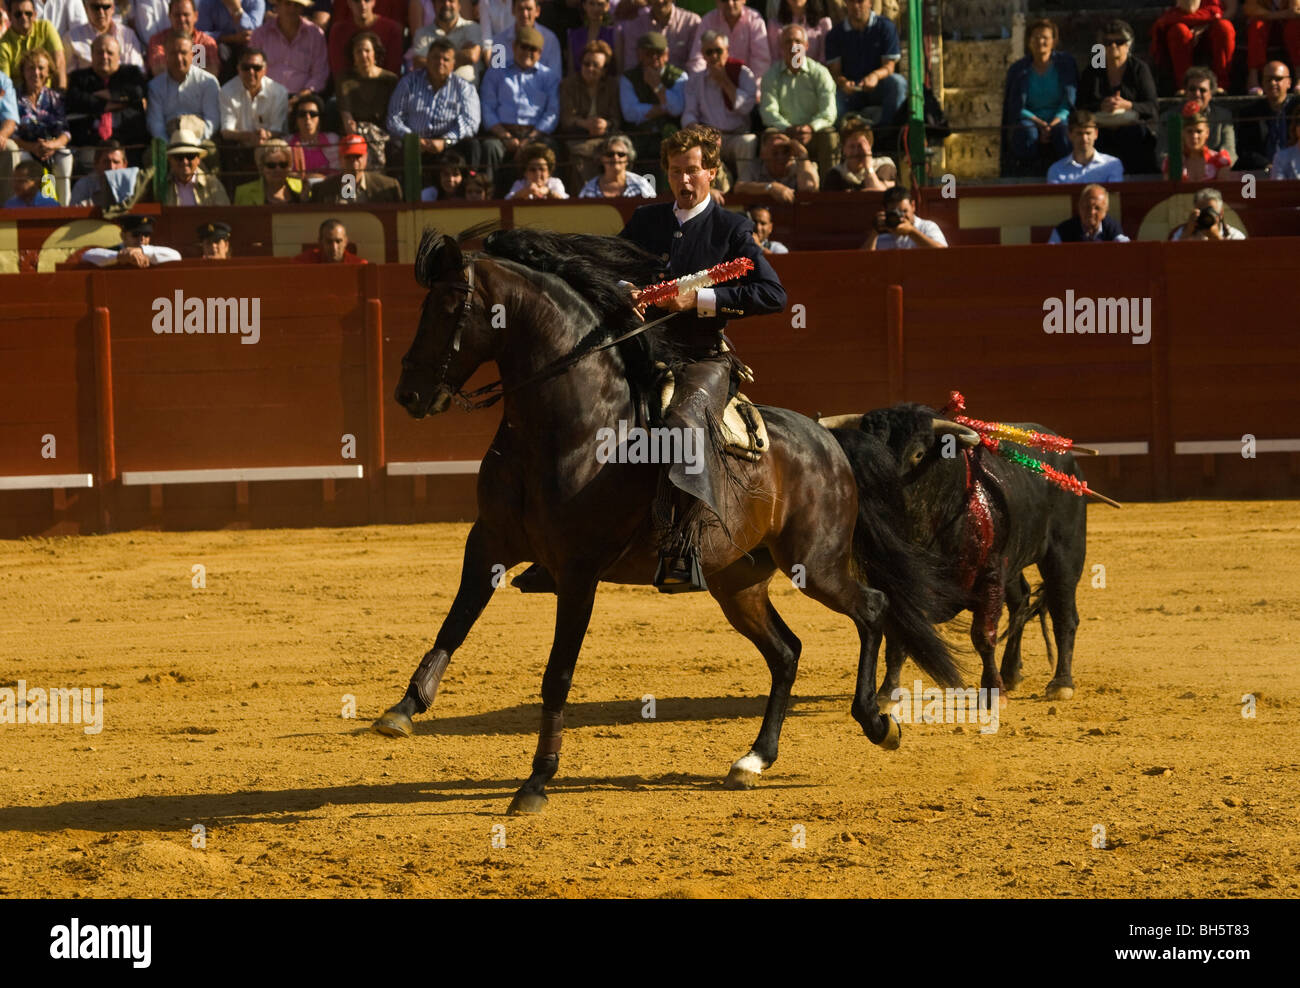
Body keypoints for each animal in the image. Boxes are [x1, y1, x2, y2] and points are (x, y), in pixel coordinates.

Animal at [373, 227, 966, 815]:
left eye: (450, 305)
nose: (409, 394)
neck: (572, 425)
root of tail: (829, 440)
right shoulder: (489, 540)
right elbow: (455, 621)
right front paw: (403, 708)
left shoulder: (578, 571)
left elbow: (557, 674)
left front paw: (537, 781)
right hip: (737, 581)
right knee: (786, 651)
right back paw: (754, 758)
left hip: (814, 565)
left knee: (873, 608)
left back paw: (877, 721)